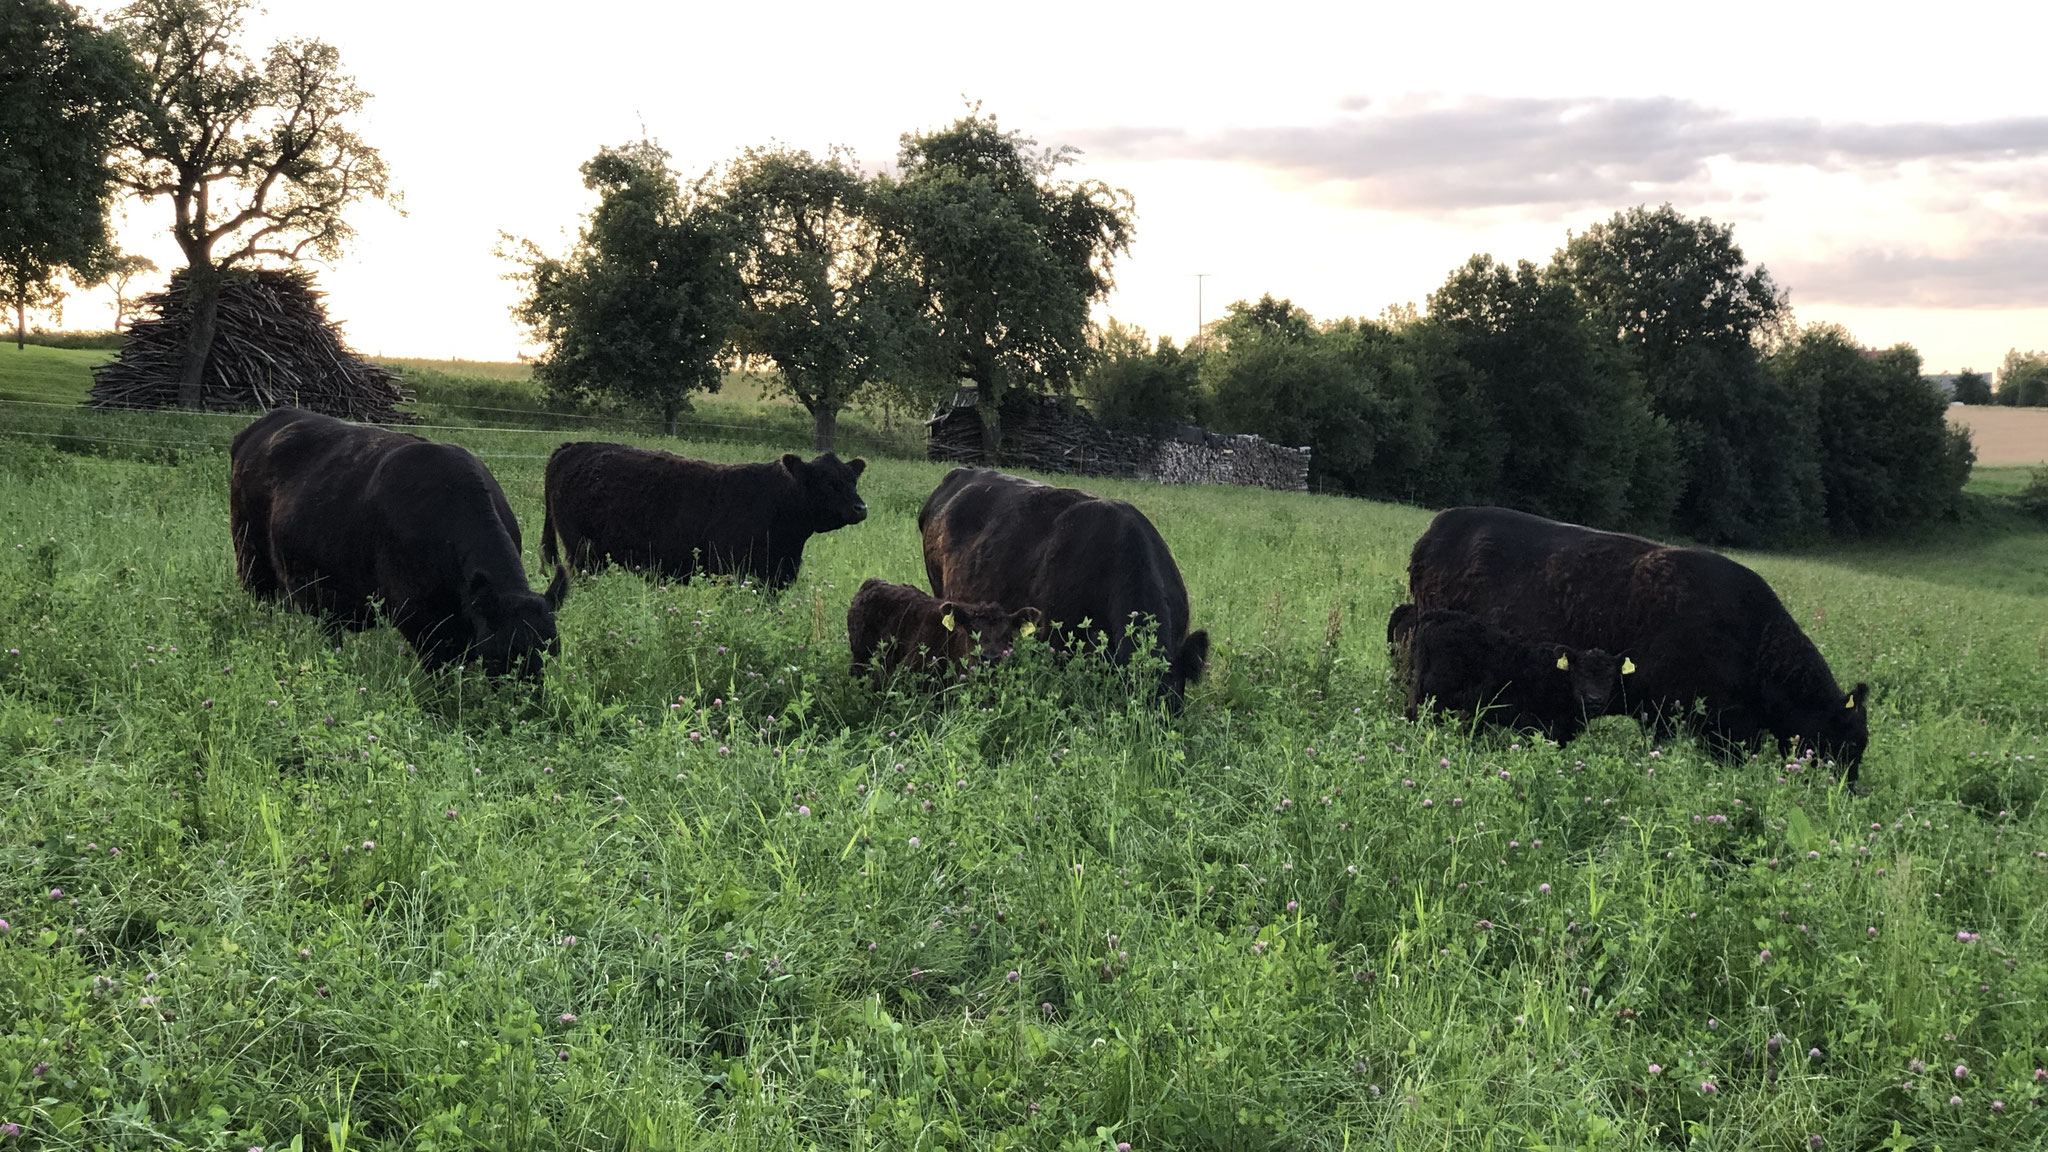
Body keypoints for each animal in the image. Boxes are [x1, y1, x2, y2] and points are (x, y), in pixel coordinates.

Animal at [229, 408, 567, 679]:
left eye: (551, 650)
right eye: (502, 654)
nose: (528, 706)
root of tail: (268, 420)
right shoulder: (423, 624)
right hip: (253, 561)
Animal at [541, 442, 867, 591]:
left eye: (853, 480)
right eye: (829, 483)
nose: (861, 508)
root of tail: (573, 447)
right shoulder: (734, 572)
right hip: (582, 554)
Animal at [1394, 607, 1627, 744]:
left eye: (1610, 676)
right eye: (1580, 674)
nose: (1595, 699)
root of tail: (1437, 615)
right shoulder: (1538, 726)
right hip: (1435, 695)